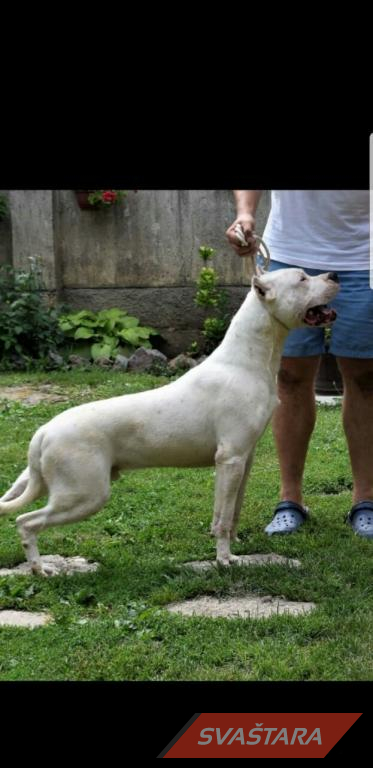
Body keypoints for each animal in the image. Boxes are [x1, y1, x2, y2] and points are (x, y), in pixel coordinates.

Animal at [0, 268, 338, 572]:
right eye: (302, 279)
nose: (335, 276)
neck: (247, 360)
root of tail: (43, 432)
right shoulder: (229, 459)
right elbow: (223, 516)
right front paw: (225, 559)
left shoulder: (244, 458)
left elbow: (230, 512)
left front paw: (233, 544)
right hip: (84, 495)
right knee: (26, 522)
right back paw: (41, 569)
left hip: (50, 486)